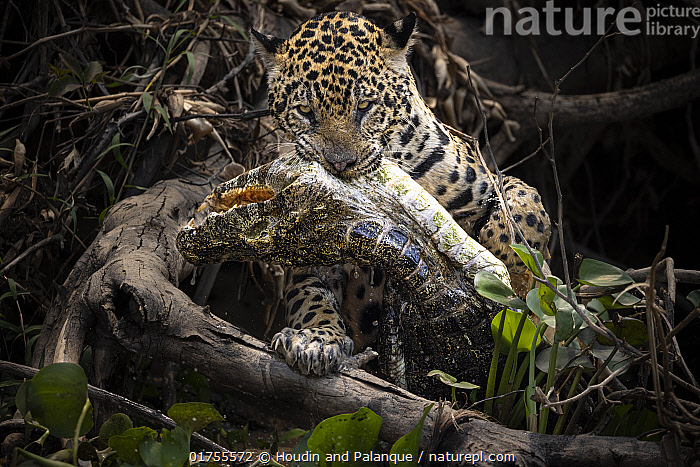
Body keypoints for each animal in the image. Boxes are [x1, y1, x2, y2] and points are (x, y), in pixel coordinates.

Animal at [250, 11, 551, 377]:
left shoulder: (484, 179)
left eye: (365, 106)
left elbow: (524, 202)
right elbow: (309, 296)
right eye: (305, 111)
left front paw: (507, 268)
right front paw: (314, 341)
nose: (340, 163)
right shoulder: (315, 248)